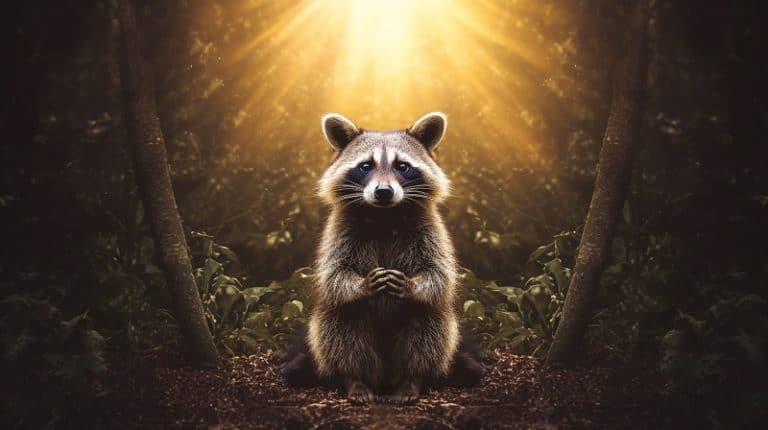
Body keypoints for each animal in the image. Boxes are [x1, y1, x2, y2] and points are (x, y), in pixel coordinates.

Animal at [282, 112, 483, 404]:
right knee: (338, 327)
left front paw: (411, 285)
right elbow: (333, 275)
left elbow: (439, 275)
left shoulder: (430, 229)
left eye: (403, 166)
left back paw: (412, 380)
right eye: (366, 166)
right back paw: (354, 379)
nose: (384, 192)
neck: (384, 215)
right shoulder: (340, 231)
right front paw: (362, 284)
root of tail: (385, 379)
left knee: (431, 326)